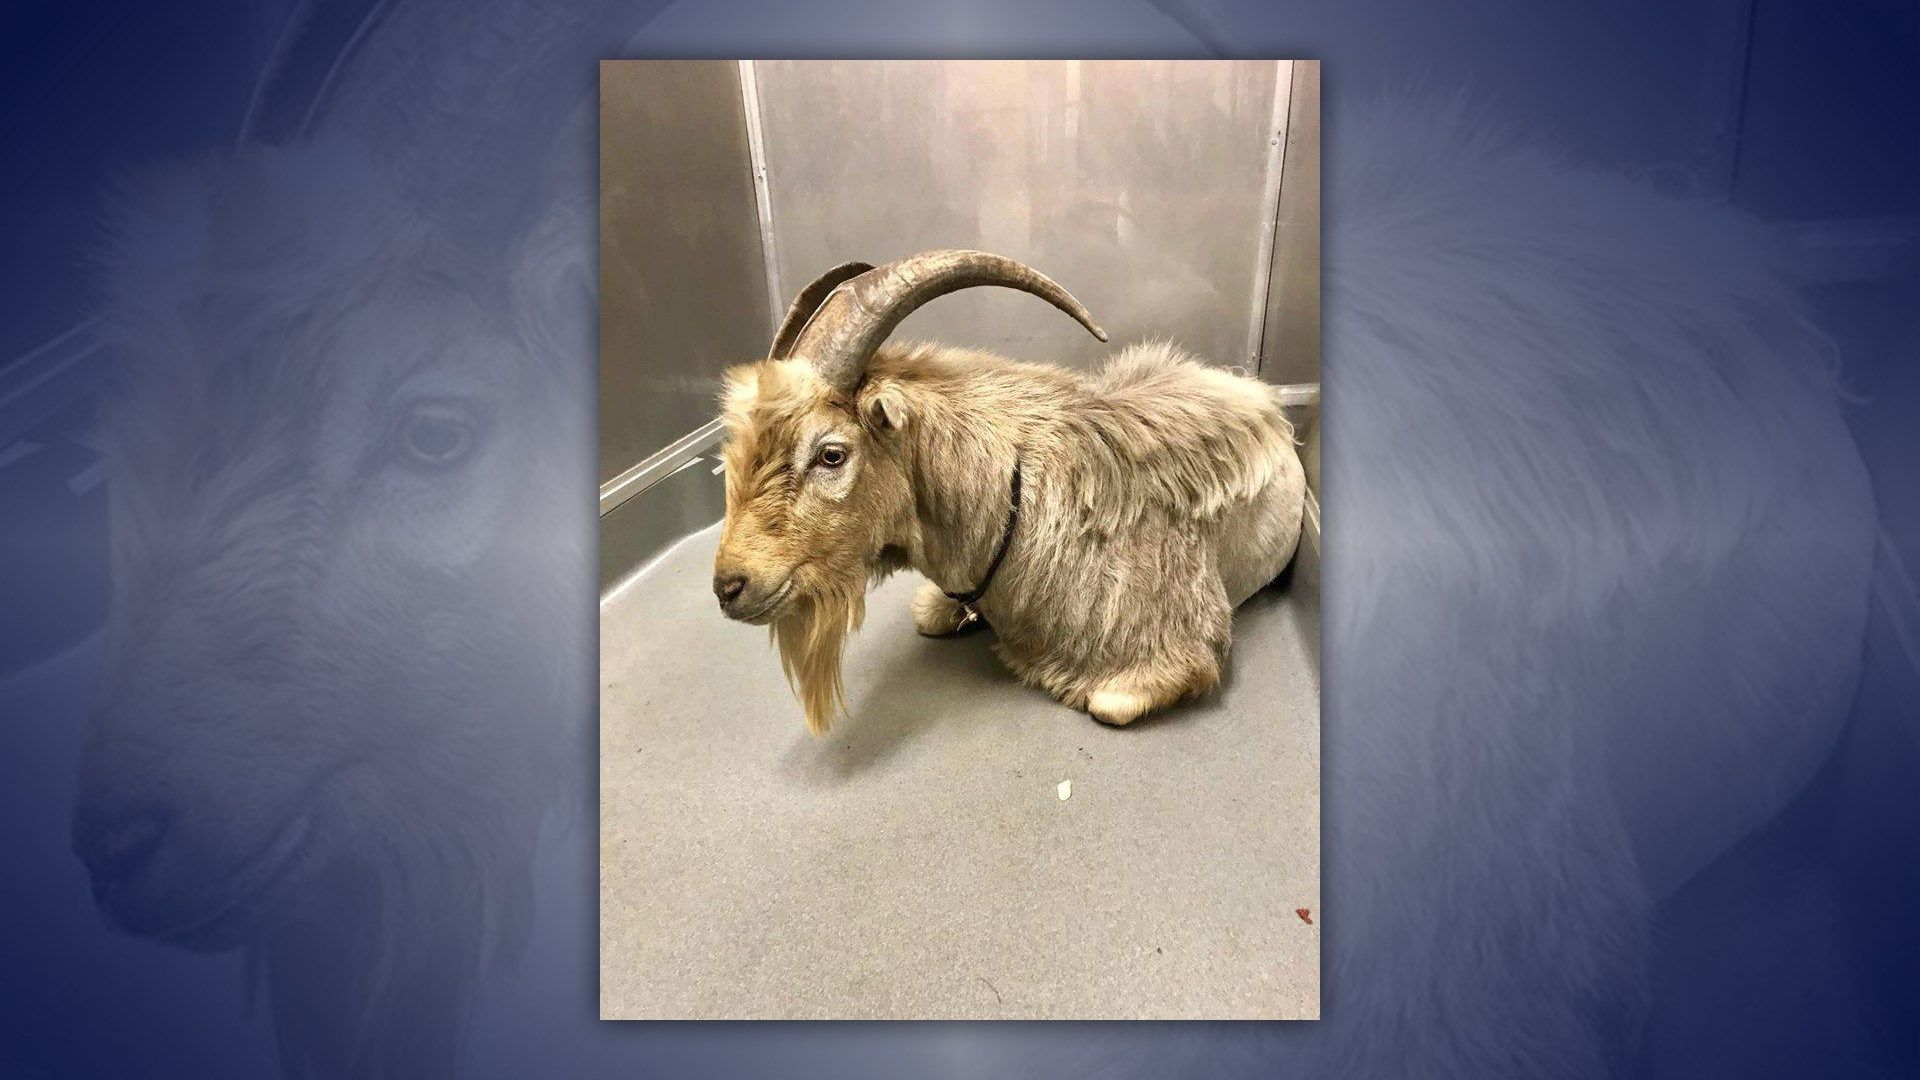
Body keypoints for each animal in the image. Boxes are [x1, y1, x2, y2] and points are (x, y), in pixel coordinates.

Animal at [712, 250, 1307, 733]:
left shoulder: (1178, 647)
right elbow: (925, 613)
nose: (727, 587)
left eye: (831, 454)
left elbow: (1109, 703)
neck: (1021, 508)